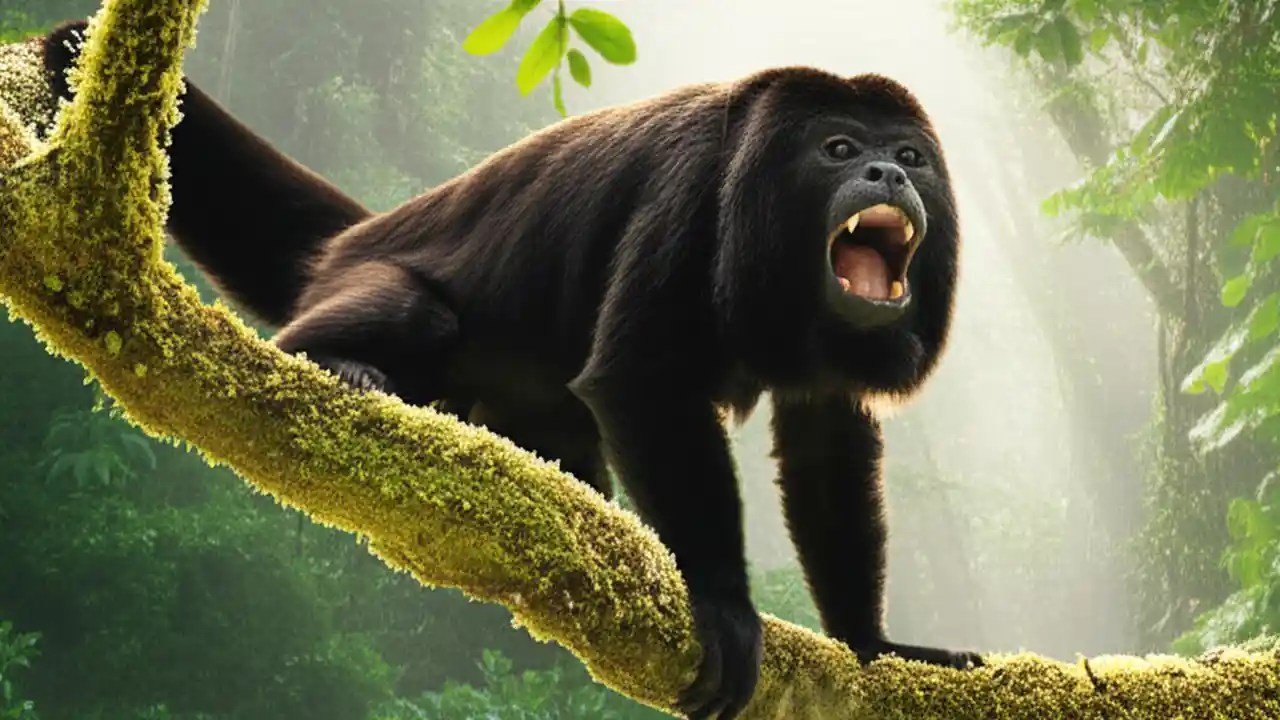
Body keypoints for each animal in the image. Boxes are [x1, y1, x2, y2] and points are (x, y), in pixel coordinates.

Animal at [44, 19, 982, 720]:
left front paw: (875, 642)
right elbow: (638, 379)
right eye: (838, 148)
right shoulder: (687, 190)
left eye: (912, 156)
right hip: (371, 280)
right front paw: (721, 601)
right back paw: (332, 365)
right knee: (401, 319)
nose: (888, 171)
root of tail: (362, 234)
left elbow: (826, 450)